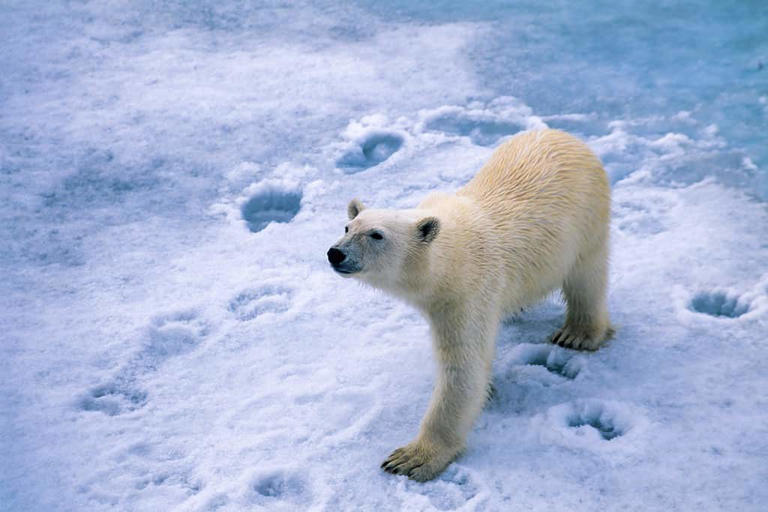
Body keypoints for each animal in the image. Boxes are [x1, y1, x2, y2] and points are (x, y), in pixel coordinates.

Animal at [327, 128, 613, 481]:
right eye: (347, 227)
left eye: (377, 235)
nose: (335, 253)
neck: (448, 258)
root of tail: (565, 136)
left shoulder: (468, 292)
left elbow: (463, 368)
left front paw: (411, 458)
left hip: (587, 218)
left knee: (587, 275)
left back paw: (578, 333)